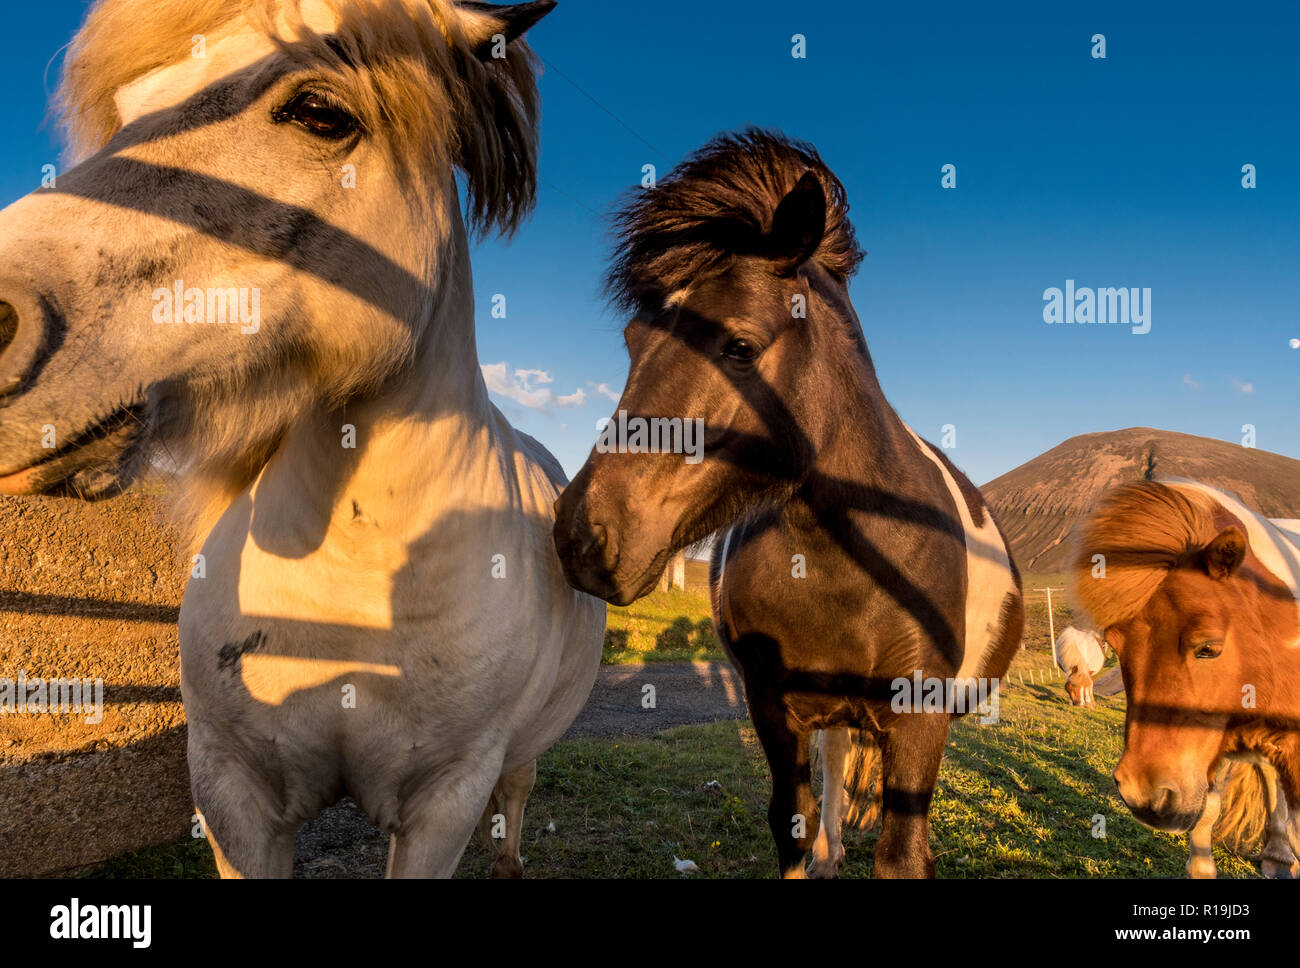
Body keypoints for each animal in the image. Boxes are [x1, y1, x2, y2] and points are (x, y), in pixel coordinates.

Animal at [0, 0, 603, 878]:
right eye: (129, 108)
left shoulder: (443, 804)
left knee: (518, 794)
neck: (355, 574)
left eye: (321, 113)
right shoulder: (233, 791)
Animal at [553, 130, 1019, 878]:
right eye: (633, 341)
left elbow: (903, 853)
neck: (852, 563)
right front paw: (819, 851)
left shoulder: (919, 721)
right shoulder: (774, 709)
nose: (580, 534)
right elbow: (793, 824)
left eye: (740, 346)